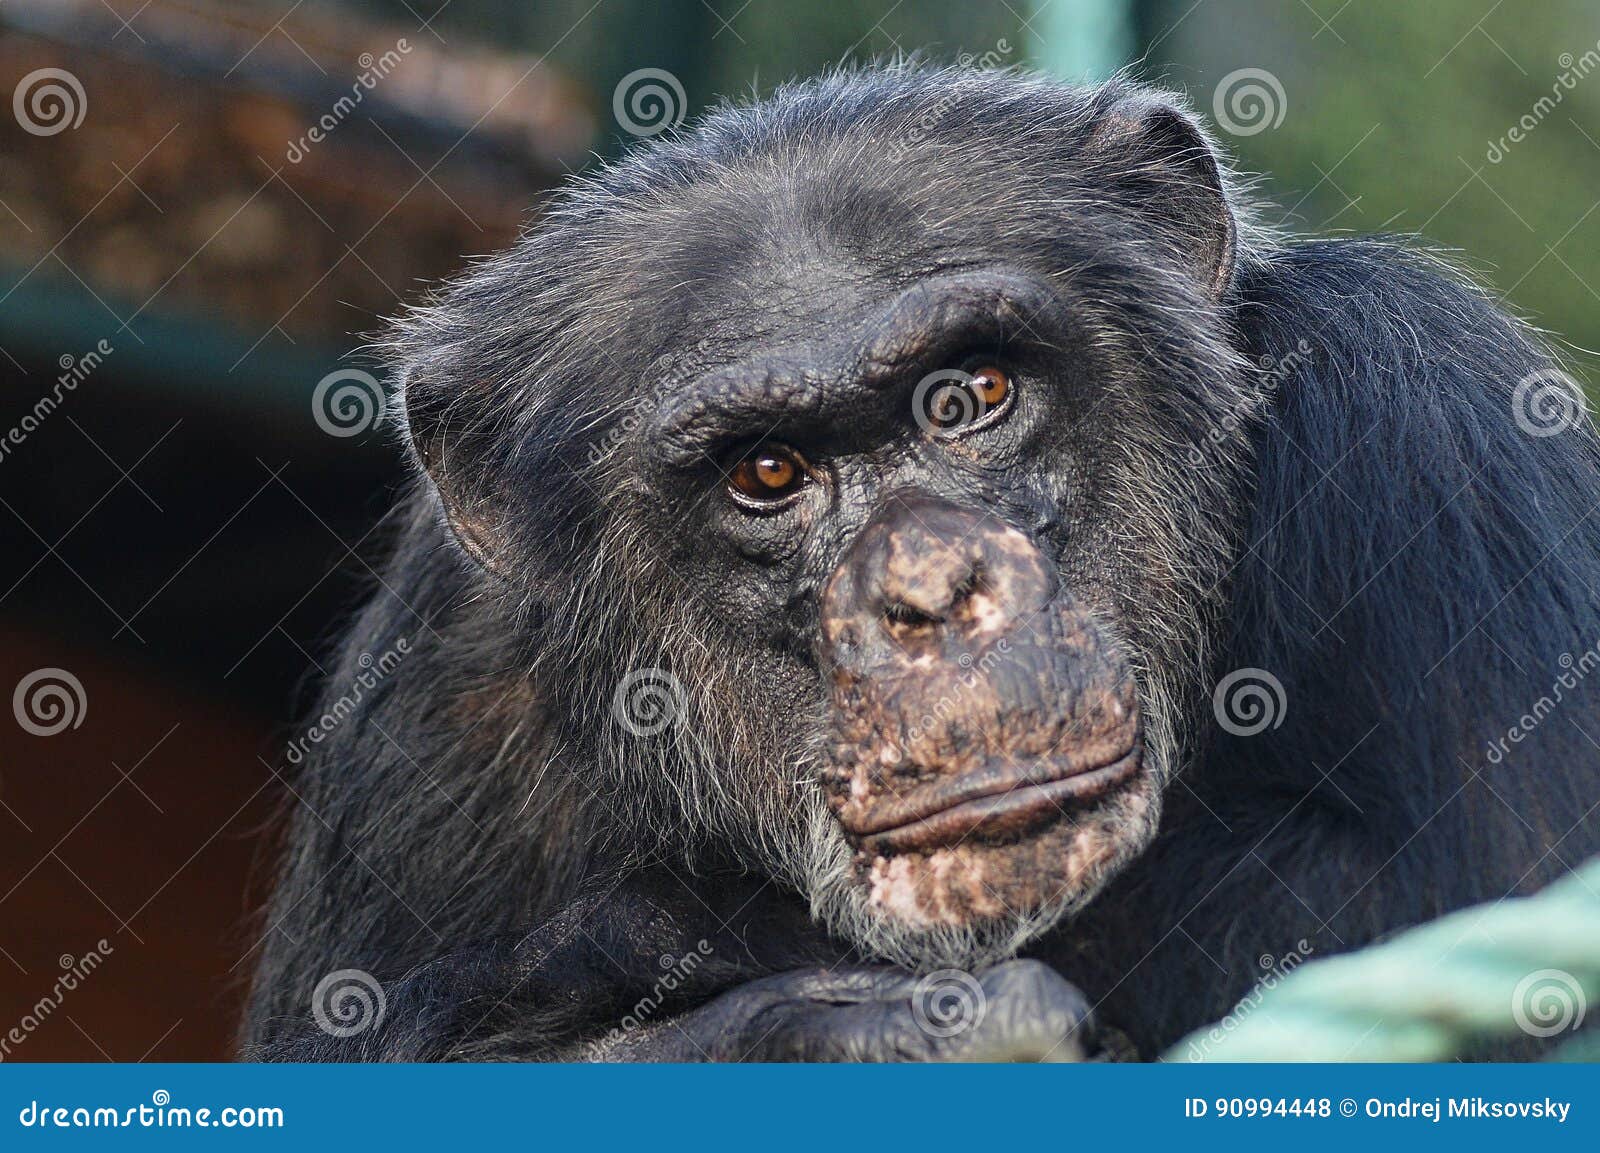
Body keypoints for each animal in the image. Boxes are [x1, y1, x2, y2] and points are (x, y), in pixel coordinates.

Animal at [243, 65, 1600, 1061]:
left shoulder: (1424, 412)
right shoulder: (432, 690)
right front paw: (800, 1025)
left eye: (973, 394)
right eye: (767, 472)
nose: (929, 589)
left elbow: (1497, 872)